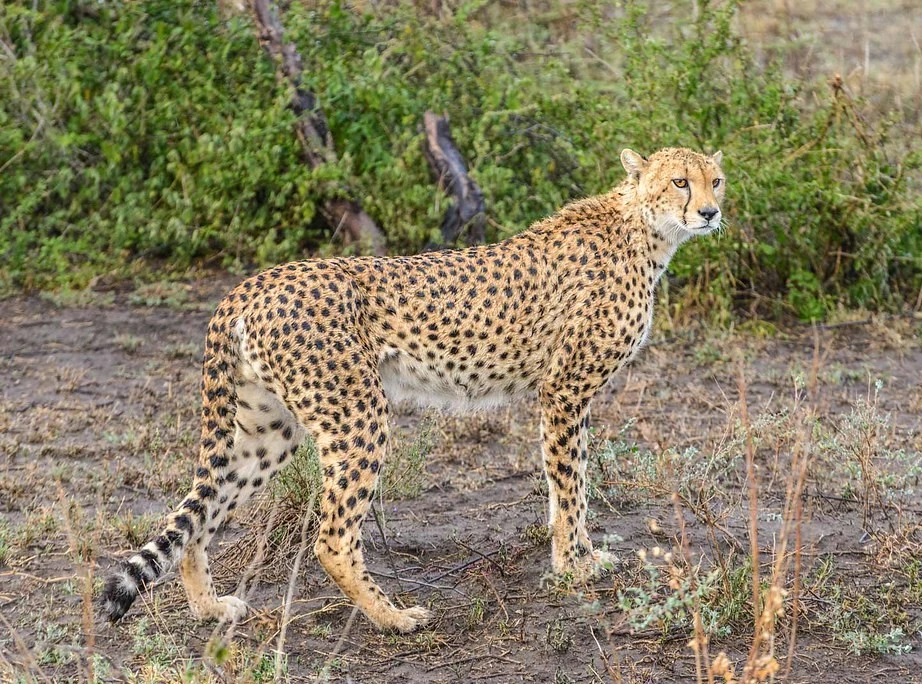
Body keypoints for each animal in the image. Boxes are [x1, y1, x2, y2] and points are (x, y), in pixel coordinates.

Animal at [102, 146, 725, 633]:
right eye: (679, 181)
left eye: (714, 180)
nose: (711, 212)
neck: (645, 230)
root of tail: (253, 282)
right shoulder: (565, 389)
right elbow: (572, 485)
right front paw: (574, 566)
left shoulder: (563, 395)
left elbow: (565, 483)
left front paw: (579, 553)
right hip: (357, 413)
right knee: (332, 536)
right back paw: (394, 617)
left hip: (266, 428)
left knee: (197, 511)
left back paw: (210, 608)